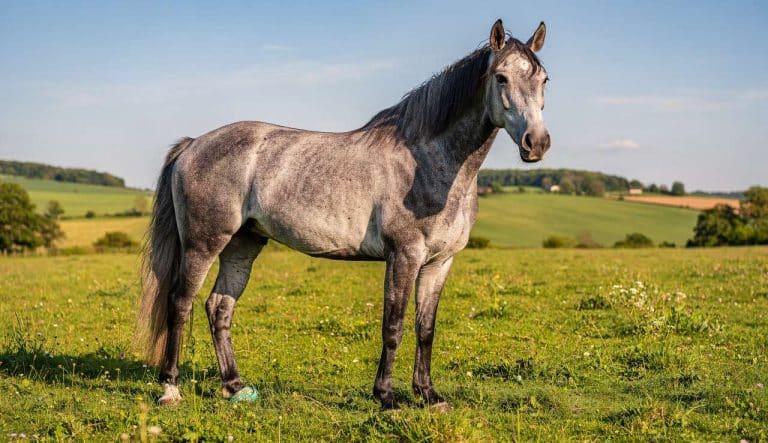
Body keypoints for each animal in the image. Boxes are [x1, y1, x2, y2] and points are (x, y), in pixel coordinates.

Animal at [137, 18, 550, 410]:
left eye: (544, 79)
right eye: (500, 77)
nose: (537, 143)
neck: (428, 162)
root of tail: (194, 144)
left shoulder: (439, 262)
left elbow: (426, 329)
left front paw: (429, 395)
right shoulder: (404, 256)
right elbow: (394, 326)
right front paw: (386, 397)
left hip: (243, 244)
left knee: (219, 307)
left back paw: (235, 387)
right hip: (203, 244)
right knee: (180, 303)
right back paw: (170, 389)